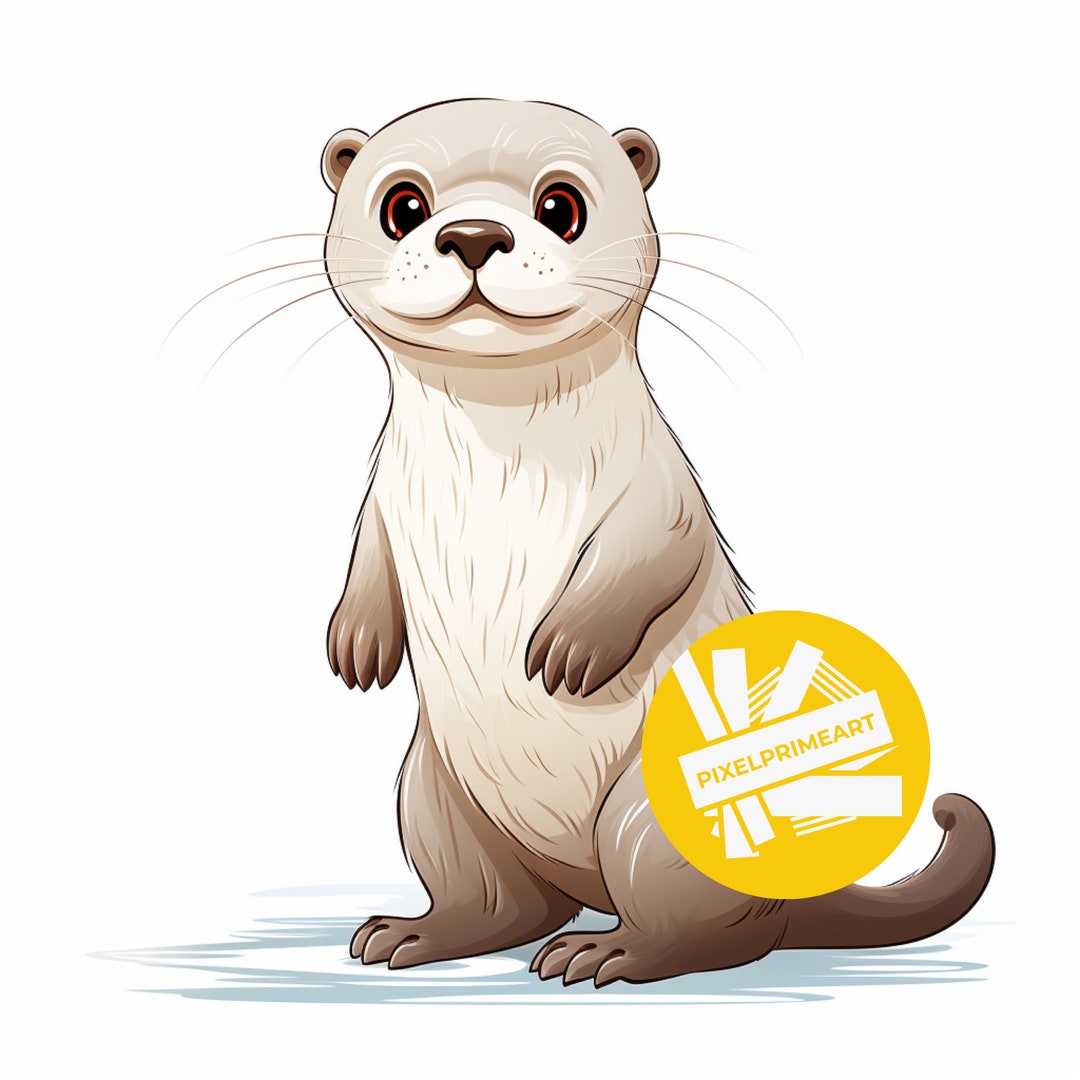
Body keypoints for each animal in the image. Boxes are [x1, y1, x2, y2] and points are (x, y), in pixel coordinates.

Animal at [320, 99, 994, 986]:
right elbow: (367, 553)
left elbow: (655, 553)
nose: (471, 234)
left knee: (709, 930)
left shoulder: (662, 486)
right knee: (502, 901)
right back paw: (413, 933)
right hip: (431, 791)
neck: (498, 456)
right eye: (402, 205)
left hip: (652, 815)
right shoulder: (384, 495)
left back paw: (604, 950)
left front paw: (570, 649)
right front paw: (356, 641)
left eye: (560, 206)